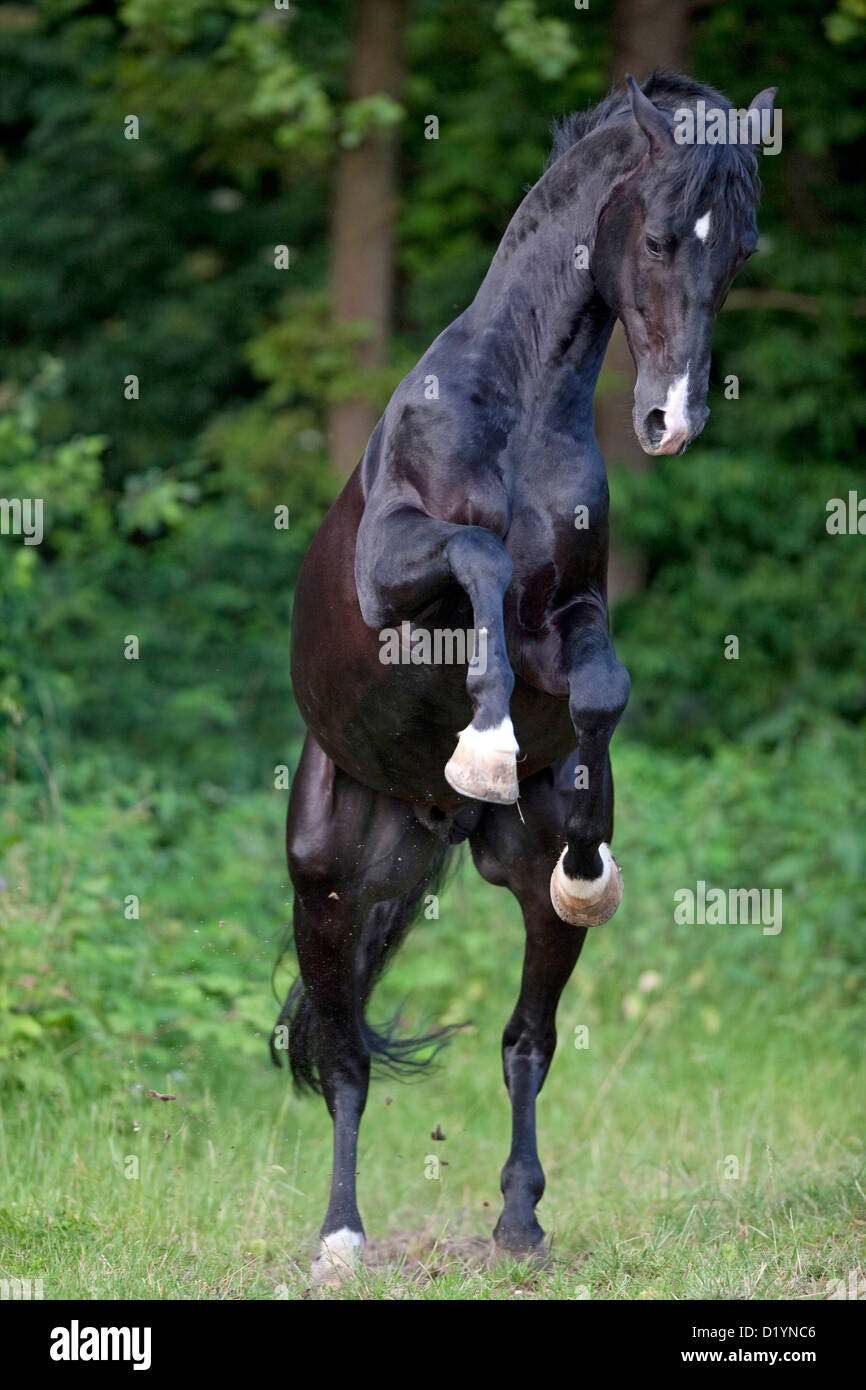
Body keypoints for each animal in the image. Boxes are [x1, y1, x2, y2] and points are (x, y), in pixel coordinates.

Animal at [272, 72, 776, 1284]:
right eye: (656, 236)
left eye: (740, 251)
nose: (670, 421)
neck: (514, 405)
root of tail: (429, 822)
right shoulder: (395, 575)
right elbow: (480, 558)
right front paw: (487, 744)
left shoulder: (573, 621)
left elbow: (598, 689)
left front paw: (580, 840)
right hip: (326, 890)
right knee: (346, 1061)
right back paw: (342, 1239)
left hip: (512, 903)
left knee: (524, 1040)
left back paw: (517, 1222)